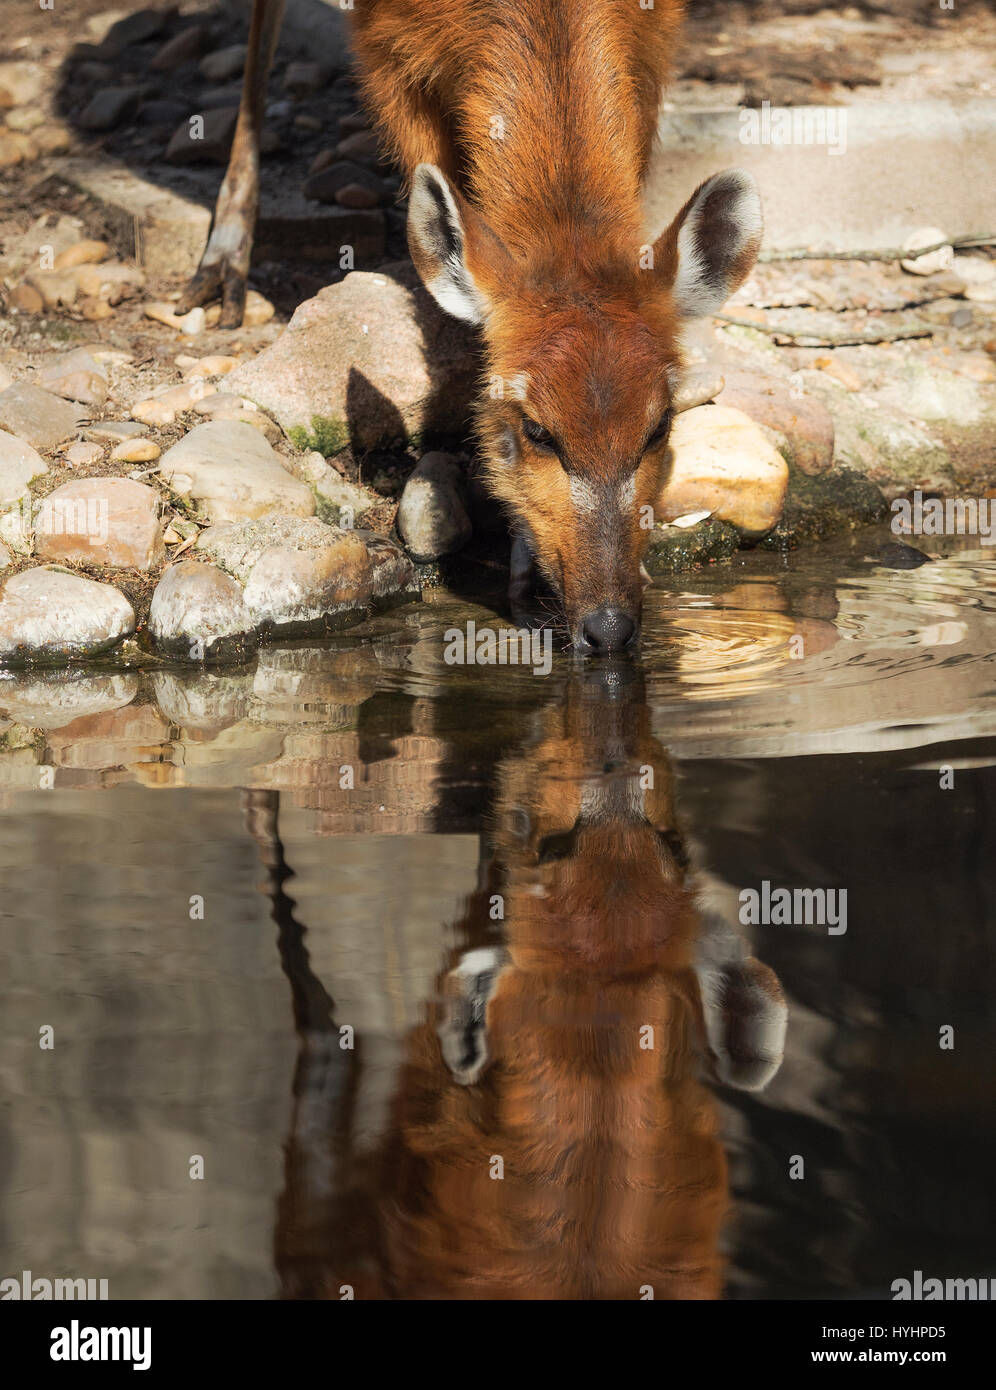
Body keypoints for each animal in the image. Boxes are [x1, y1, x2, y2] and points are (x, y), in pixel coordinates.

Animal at [185, 1, 763, 653]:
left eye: (659, 426)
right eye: (536, 430)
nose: (608, 628)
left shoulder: (653, 37)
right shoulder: (388, 56)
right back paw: (222, 268)